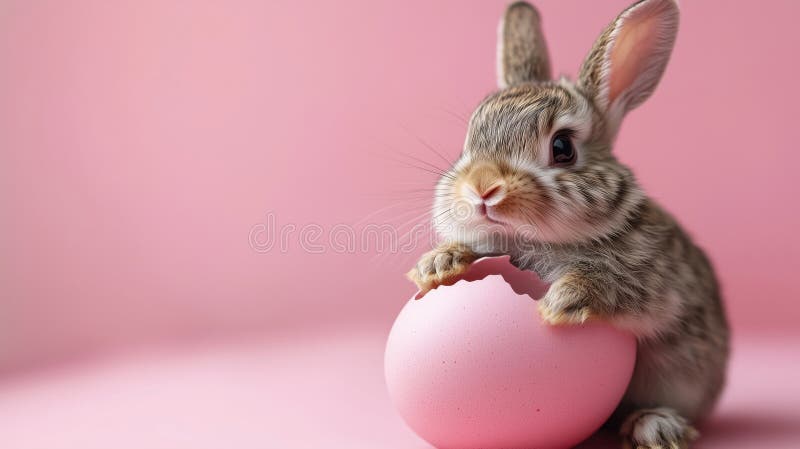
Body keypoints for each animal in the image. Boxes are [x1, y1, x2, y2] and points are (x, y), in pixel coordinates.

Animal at [406, 1, 730, 448]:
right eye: (468, 141)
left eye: (563, 148)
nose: (481, 188)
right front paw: (436, 264)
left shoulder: (653, 283)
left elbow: (615, 287)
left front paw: (558, 302)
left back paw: (655, 426)